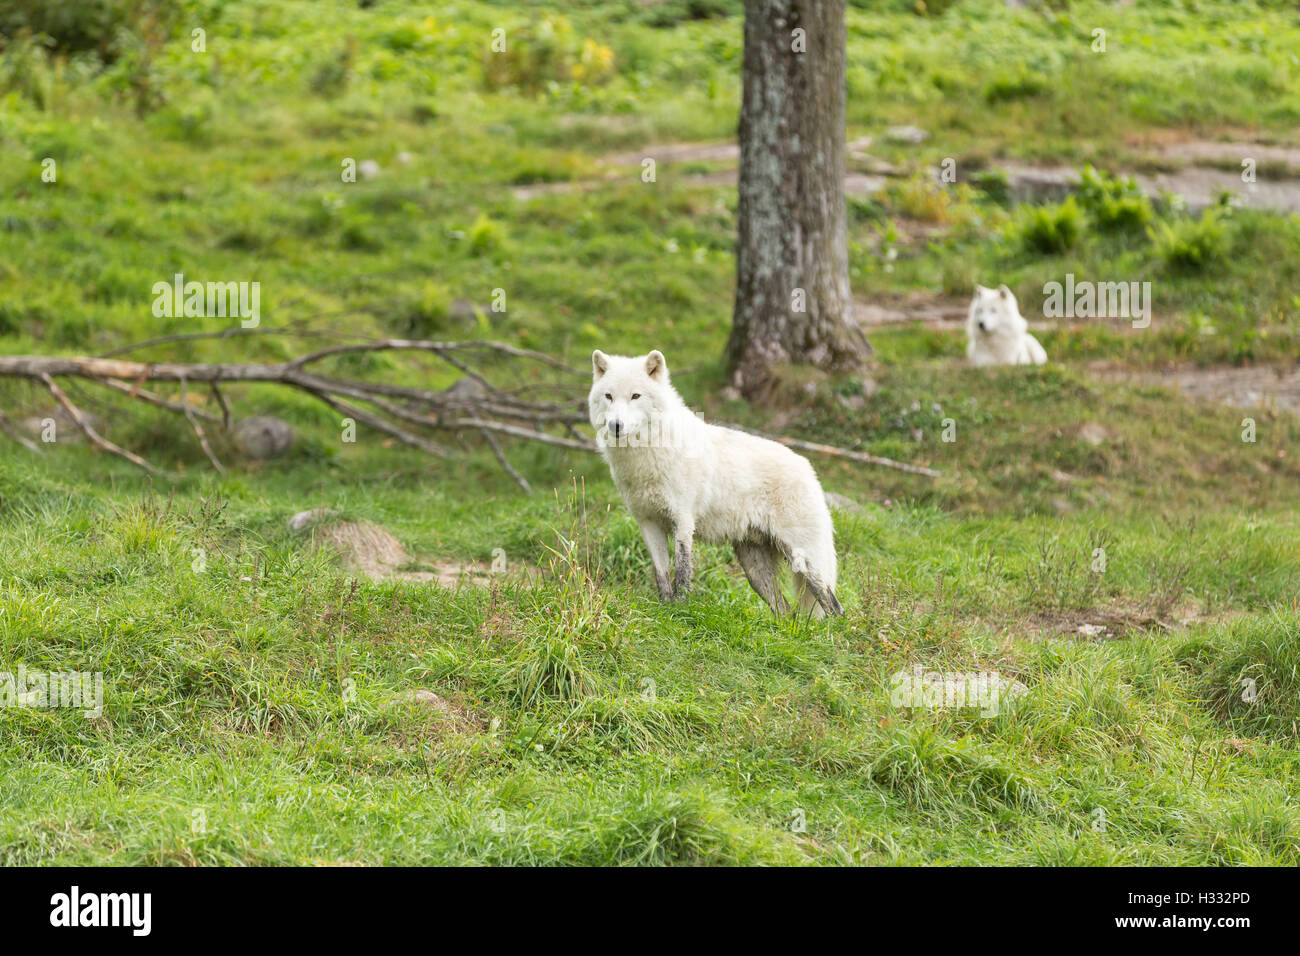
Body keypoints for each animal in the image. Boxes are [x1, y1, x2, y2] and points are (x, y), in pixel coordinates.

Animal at [589, 349, 842, 617]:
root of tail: (809, 469)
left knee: (834, 606)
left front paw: (681, 612)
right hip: (755, 570)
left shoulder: (683, 522)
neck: (646, 456)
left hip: (804, 560)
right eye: (608, 396)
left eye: (635, 396)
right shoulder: (648, 523)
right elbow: (662, 576)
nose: (616, 425)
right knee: (784, 611)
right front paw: (664, 609)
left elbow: (682, 574)